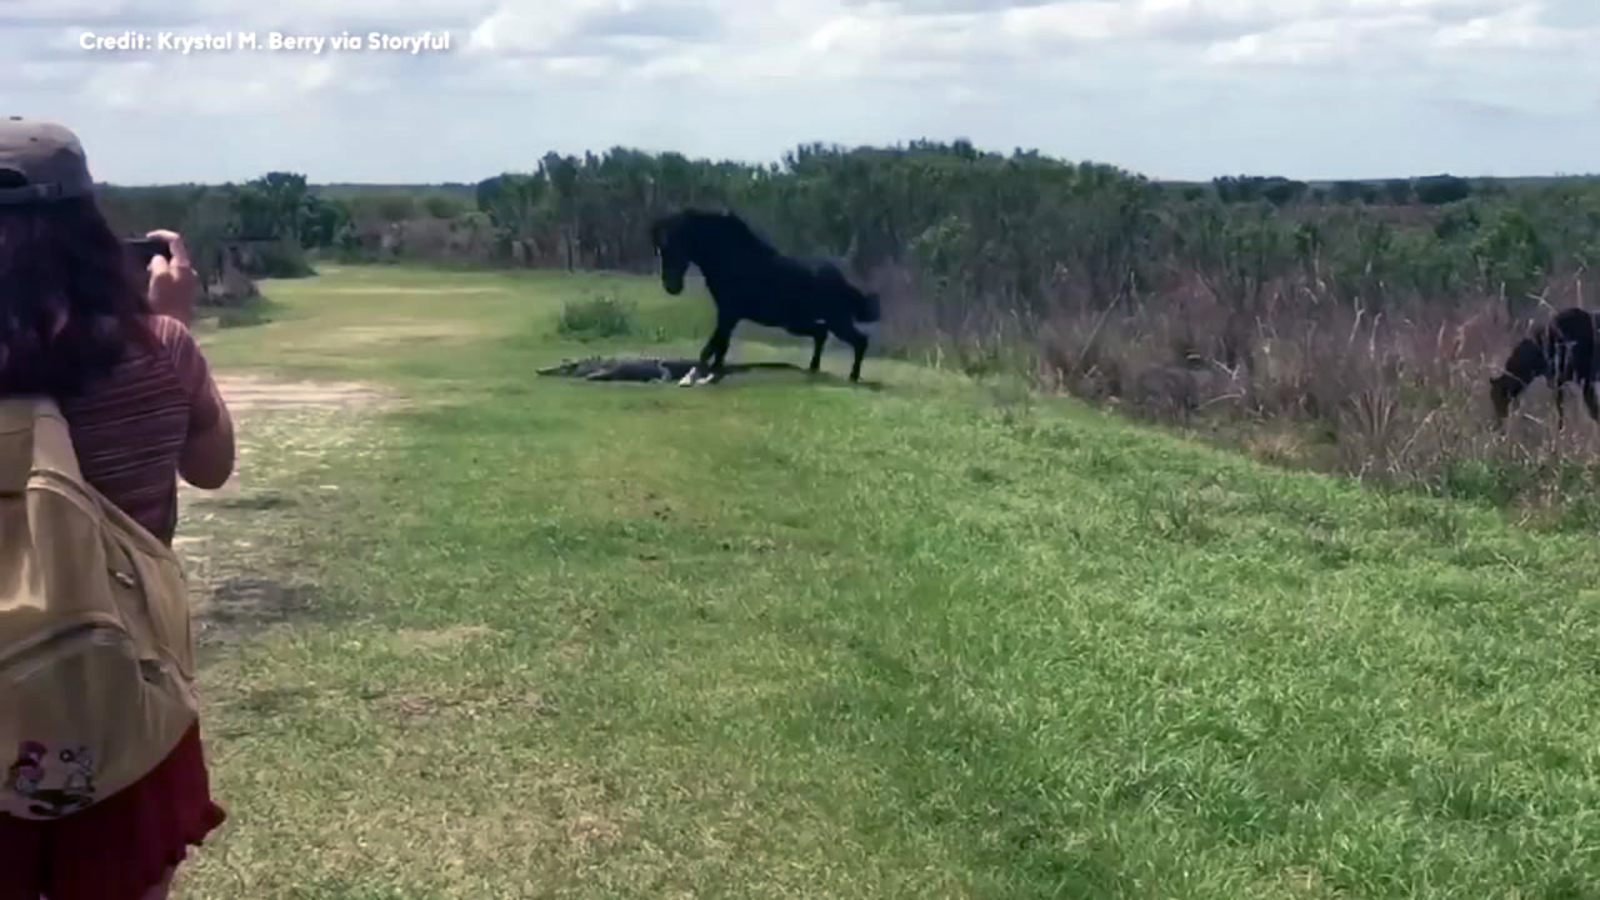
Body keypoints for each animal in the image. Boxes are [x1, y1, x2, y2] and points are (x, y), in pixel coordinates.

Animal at [648, 207, 881, 386]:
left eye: (672, 246)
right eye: (659, 249)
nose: (671, 287)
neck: (732, 257)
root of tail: (843, 282)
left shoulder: (729, 313)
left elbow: (712, 347)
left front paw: (695, 377)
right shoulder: (728, 314)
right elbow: (720, 346)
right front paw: (710, 375)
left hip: (836, 321)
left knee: (859, 341)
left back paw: (852, 377)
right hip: (797, 323)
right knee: (821, 334)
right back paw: (813, 370)